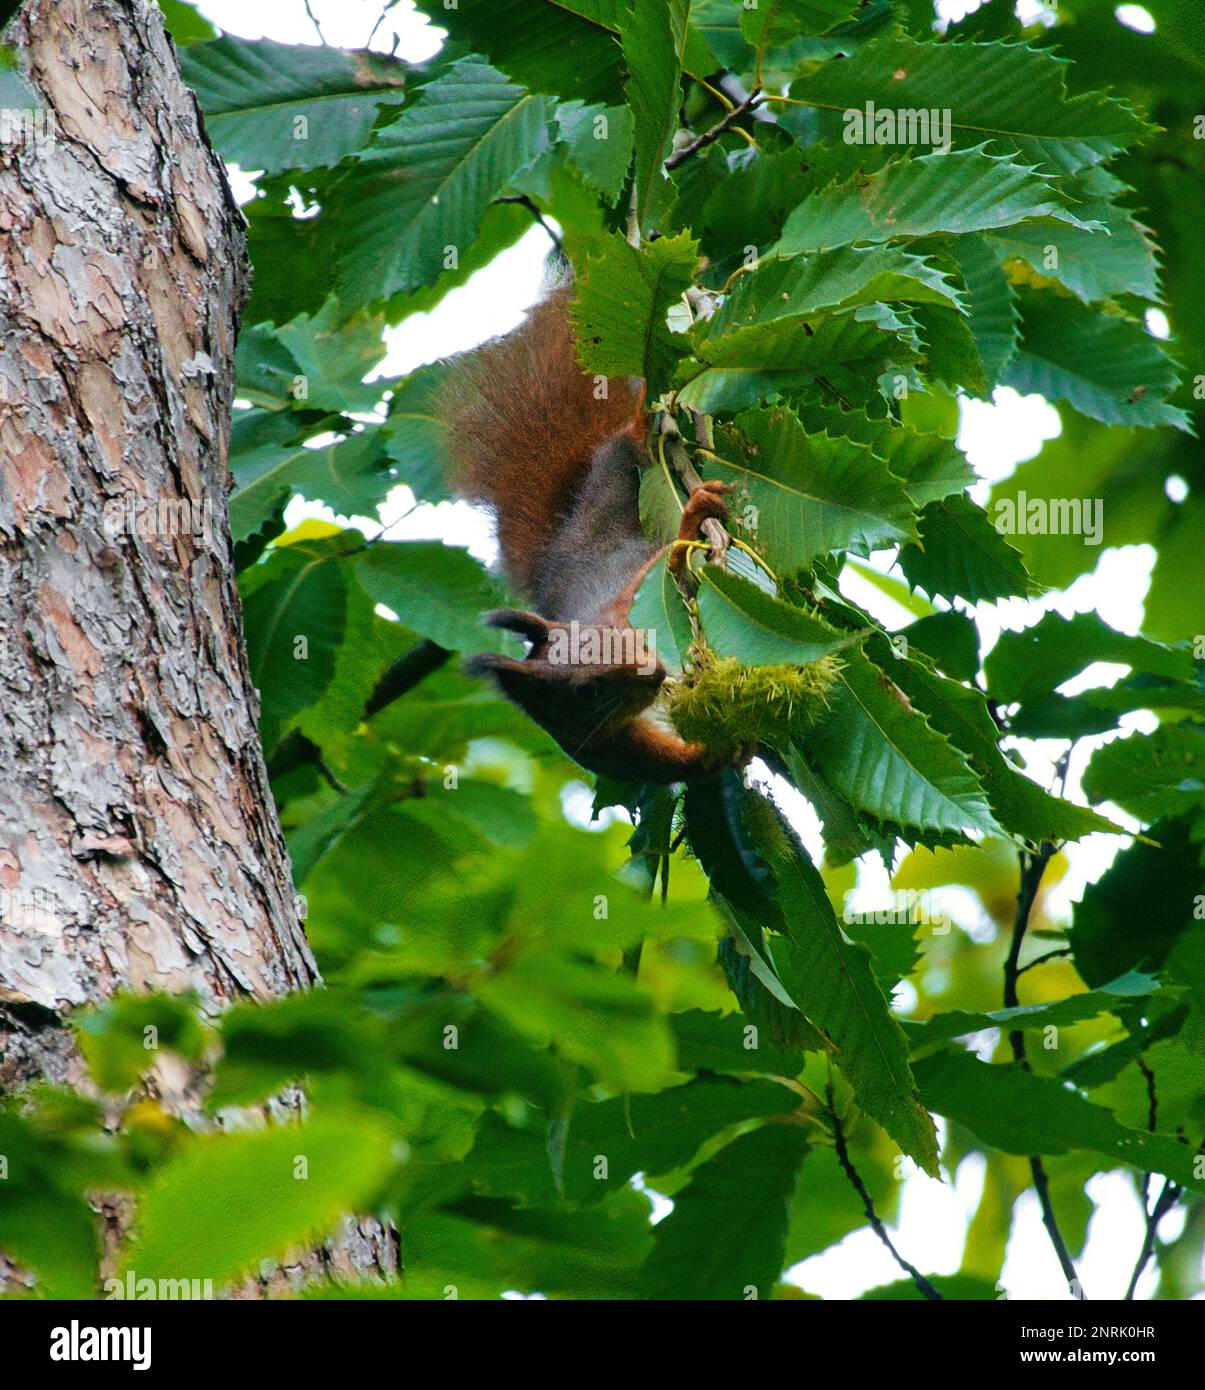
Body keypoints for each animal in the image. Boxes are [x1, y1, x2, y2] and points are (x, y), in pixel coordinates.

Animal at [440, 288, 740, 784]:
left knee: (635, 439)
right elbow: (667, 764)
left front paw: (691, 522)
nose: (652, 672)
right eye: (587, 693)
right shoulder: (605, 747)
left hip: (622, 462)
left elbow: (667, 563)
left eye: (614, 633)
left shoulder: (630, 595)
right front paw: (718, 753)